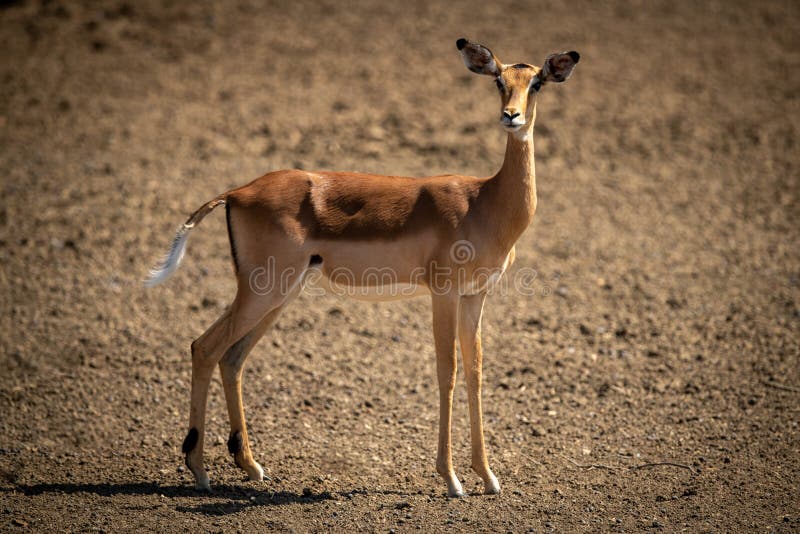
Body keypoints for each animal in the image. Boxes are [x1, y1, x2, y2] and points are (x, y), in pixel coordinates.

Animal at [146, 39, 579, 498]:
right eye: (498, 81)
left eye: (536, 82)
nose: (511, 116)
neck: (486, 202)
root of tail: (237, 192)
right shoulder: (443, 293)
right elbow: (447, 372)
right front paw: (452, 479)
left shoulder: (475, 296)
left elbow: (475, 372)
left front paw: (489, 476)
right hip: (263, 292)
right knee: (204, 347)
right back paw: (199, 470)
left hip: (279, 294)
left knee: (232, 358)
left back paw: (251, 466)